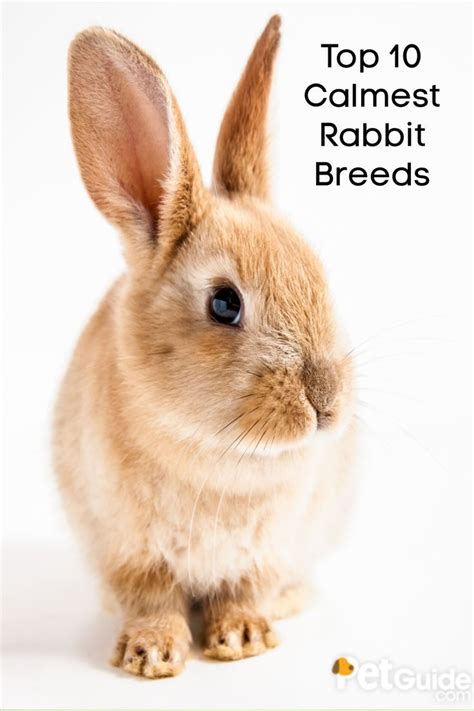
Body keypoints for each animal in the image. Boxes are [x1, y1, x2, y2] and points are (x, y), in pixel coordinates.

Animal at [53, 14, 357, 679]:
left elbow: (242, 591)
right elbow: (154, 600)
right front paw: (150, 655)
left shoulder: (265, 551)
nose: (326, 402)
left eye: (318, 273)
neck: (219, 454)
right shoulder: (132, 551)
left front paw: (243, 639)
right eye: (224, 304)